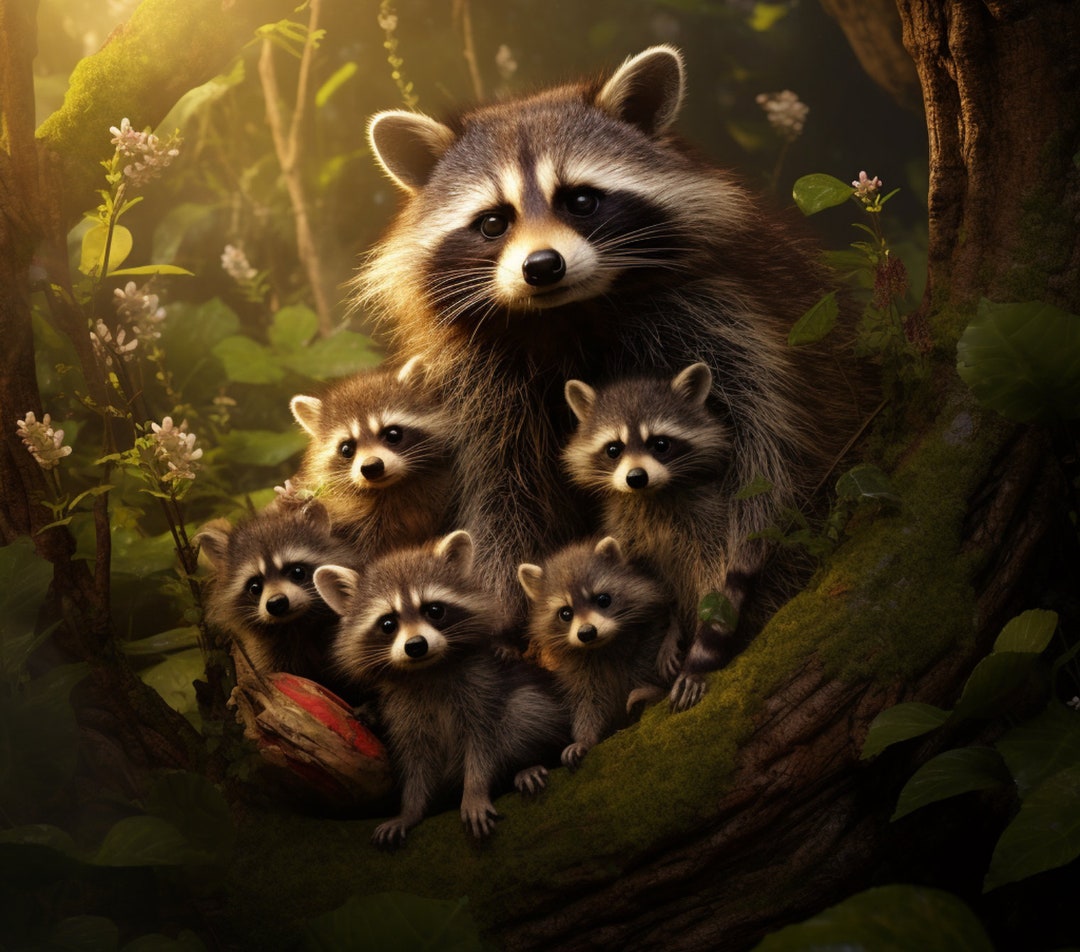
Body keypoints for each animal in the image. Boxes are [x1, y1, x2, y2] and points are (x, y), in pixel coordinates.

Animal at [315, 531, 569, 847]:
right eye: (387, 623)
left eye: (434, 610)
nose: (416, 646)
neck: (427, 670)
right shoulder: (404, 715)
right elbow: (415, 765)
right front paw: (409, 811)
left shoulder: (482, 688)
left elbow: (484, 745)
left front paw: (474, 792)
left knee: (524, 710)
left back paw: (527, 766)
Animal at [358, 44, 862, 631]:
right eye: (492, 223)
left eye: (580, 200)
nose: (542, 267)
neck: (568, 313)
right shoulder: (480, 379)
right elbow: (501, 488)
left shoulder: (720, 315)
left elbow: (766, 455)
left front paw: (730, 589)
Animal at [518, 536, 680, 768]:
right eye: (565, 613)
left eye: (603, 600)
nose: (587, 633)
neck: (604, 646)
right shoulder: (581, 671)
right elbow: (588, 702)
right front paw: (585, 739)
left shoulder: (648, 639)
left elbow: (646, 667)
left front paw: (655, 691)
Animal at [563, 363, 740, 711]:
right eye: (614, 449)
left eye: (660, 444)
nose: (636, 477)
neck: (650, 495)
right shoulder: (624, 530)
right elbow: (649, 586)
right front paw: (671, 626)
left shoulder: (707, 516)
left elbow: (711, 576)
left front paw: (692, 636)